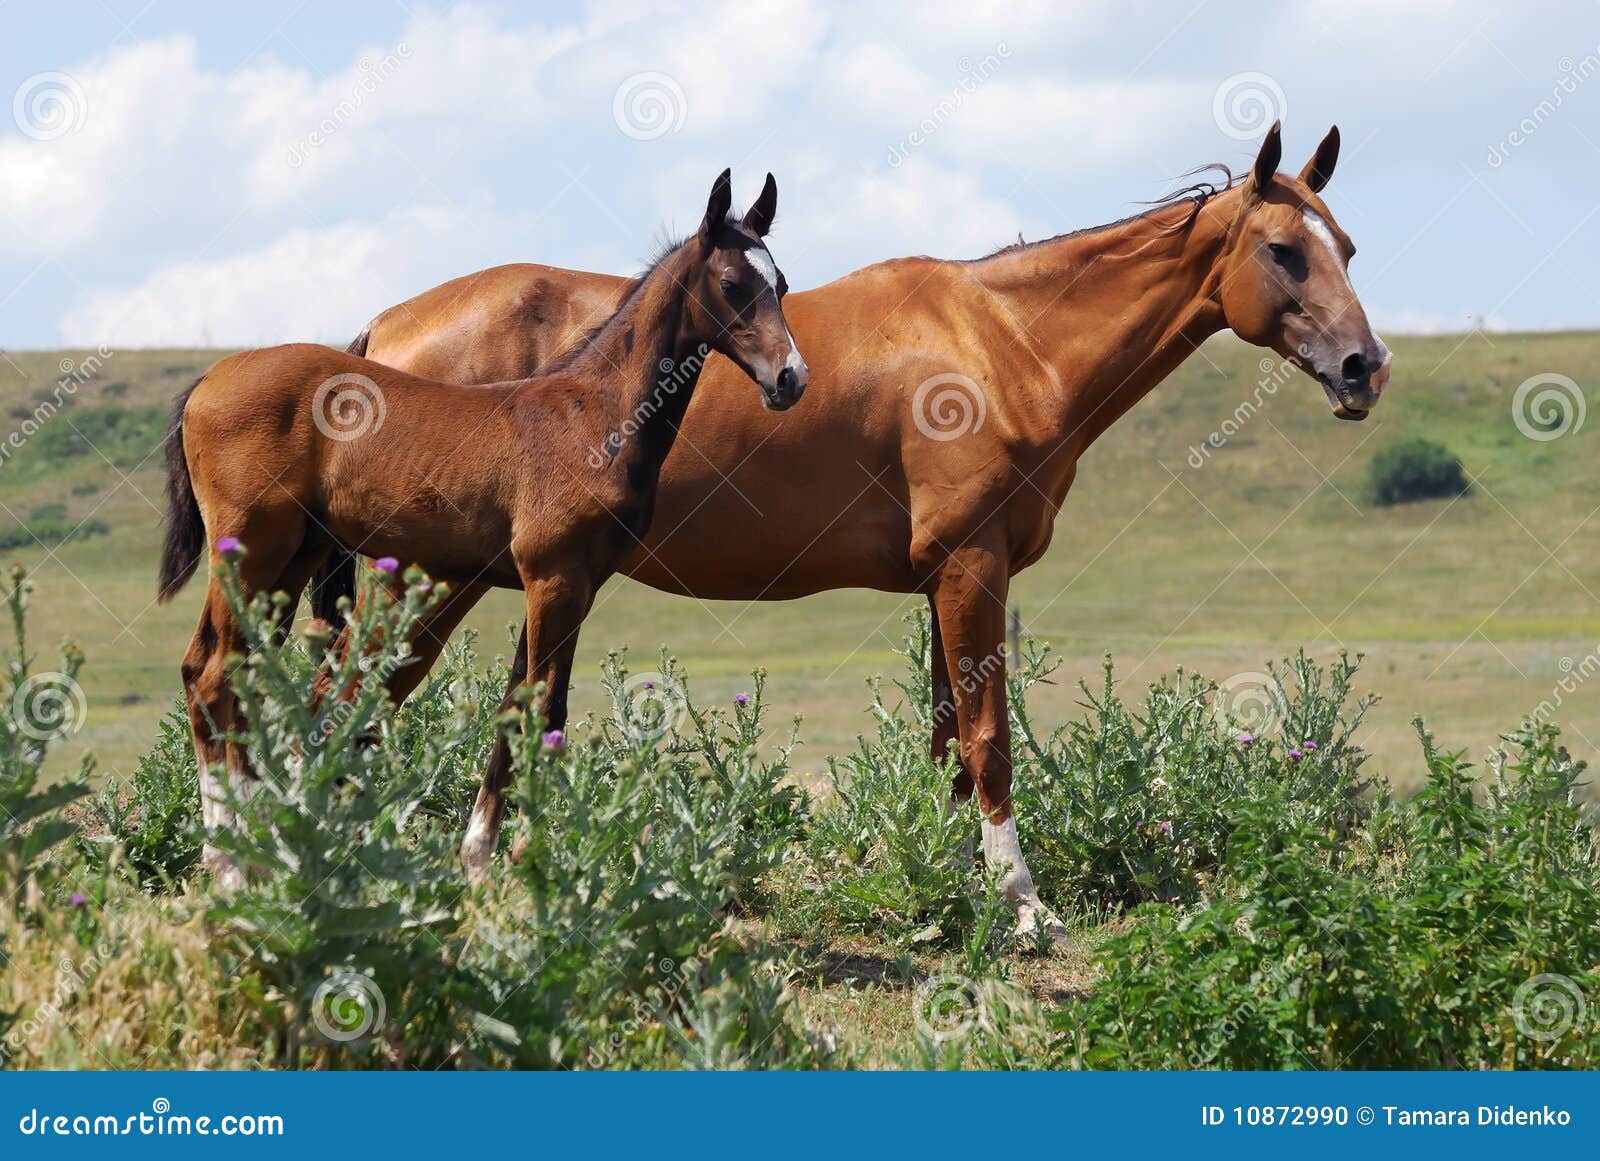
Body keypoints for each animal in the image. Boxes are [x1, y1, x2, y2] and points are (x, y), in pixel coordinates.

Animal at [156, 169, 807, 884]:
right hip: (251, 552)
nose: (790, 379)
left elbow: (521, 704)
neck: (594, 414)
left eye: (780, 284)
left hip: (292, 559)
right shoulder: (553, 577)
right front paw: (526, 852)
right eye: (732, 283)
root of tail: (209, 379)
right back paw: (229, 859)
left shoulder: (572, 582)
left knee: (241, 675)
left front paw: (478, 854)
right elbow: (543, 708)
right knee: (213, 676)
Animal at [319, 122, 1390, 942]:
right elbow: (989, 741)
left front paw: (945, 880)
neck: (1006, 342)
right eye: (1284, 251)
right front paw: (1025, 904)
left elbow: (947, 744)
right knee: (344, 695)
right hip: (431, 582)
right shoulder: (971, 568)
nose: (1363, 367)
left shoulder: (949, 581)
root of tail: (382, 330)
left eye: (1346, 245)